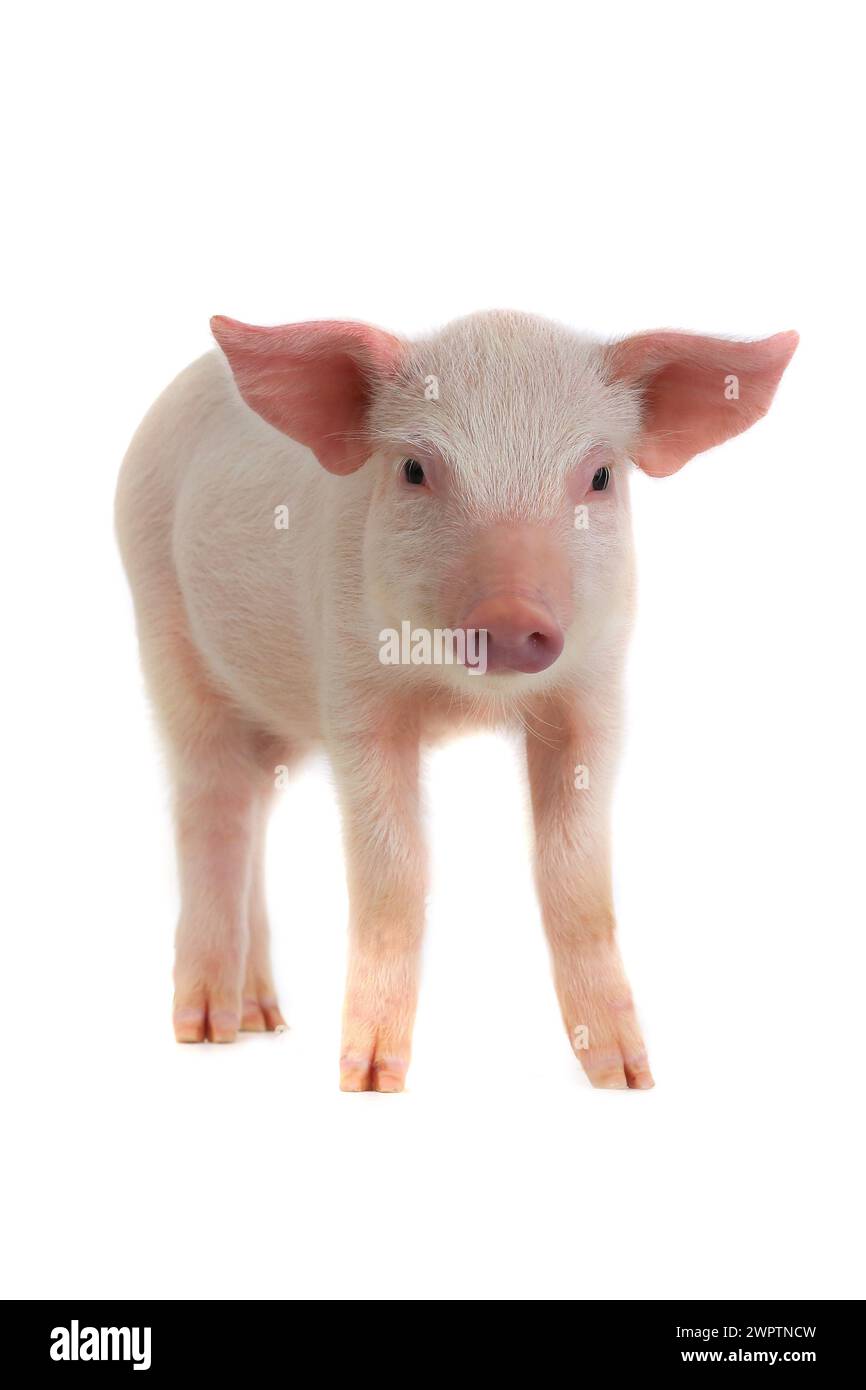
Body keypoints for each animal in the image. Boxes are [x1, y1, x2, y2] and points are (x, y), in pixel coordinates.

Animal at [115, 311, 797, 1090]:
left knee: (253, 807)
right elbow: (394, 873)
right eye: (415, 469)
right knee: (210, 807)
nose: (508, 613)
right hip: (162, 626)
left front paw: (628, 1077)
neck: (465, 701)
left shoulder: (596, 691)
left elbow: (576, 874)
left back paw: (267, 1020)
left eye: (599, 476)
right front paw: (369, 1080)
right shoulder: (354, 688)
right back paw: (206, 1032)